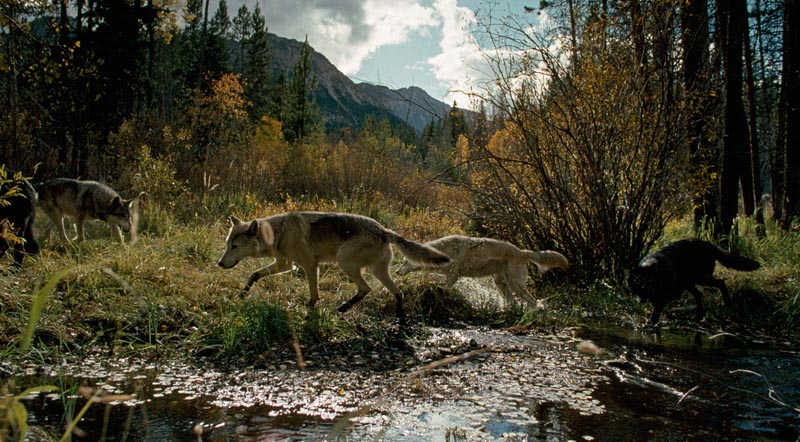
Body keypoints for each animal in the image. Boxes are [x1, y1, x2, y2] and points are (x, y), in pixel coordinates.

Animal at [217, 212, 450, 318]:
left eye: (235, 246)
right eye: (227, 244)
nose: (219, 263)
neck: (278, 232)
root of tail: (384, 230)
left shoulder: (309, 265)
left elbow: (314, 292)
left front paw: (310, 308)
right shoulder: (285, 265)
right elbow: (254, 275)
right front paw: (242, 294)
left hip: (344, 263)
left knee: (366, 288)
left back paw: (344, 307)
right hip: (376, 270)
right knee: (397, 292)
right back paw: (398, 316)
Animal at [396, 235, 569, 307]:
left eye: (405, 262)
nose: (396, 272)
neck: (443, 251)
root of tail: (522, 252)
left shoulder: (453, 276)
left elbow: (443, 287)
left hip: (515, 285)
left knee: (532, 301)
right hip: (500, 284)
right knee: (514, 302)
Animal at [628, 238, 761, 325]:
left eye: (649, 284)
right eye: (637, 285)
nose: (642, 300)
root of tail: (710, 244)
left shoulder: (661, 300)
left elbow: (655, 316)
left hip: (702, 279)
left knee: (721, 283)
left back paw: (727, 303)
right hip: (690, 283)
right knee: (699, 294)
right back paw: (700, 315)